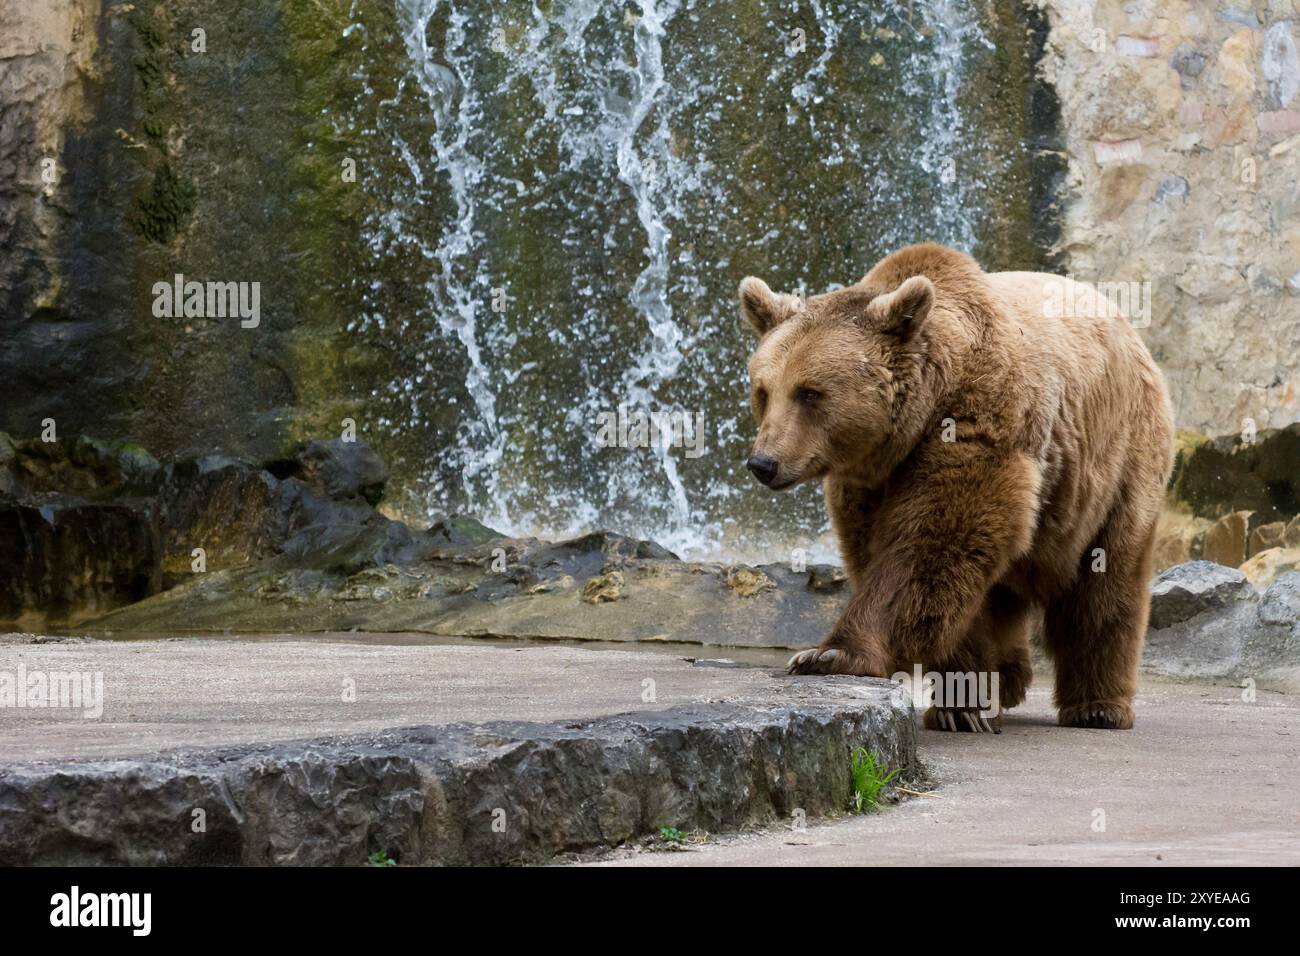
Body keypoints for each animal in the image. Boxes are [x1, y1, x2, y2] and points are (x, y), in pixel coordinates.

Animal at [739, 243, 1174, 731]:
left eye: (810, 392)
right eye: (763, 391)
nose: (763, 462)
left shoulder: (977, 427)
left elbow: (926, 548)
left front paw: (828, 654)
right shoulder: (870, 481)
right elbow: (902, 559)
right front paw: (962, 702)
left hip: (1116, 462)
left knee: (1104, 579)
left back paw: (1097, 705)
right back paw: (1010, 679)